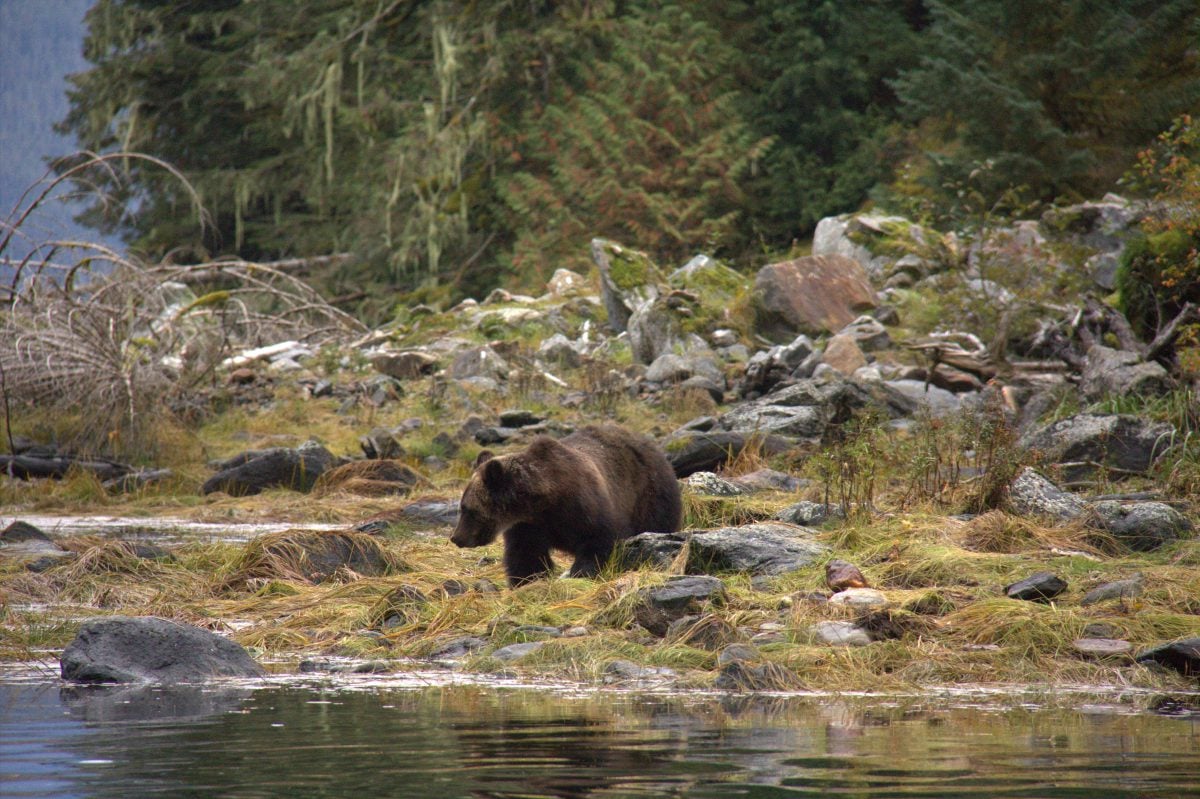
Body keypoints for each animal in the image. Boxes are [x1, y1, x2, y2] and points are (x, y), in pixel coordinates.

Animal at [450, 424, 682, 586]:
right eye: (462, 507)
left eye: (468, 509)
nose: (456, 537)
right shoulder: (528, 526)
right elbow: (526, 556)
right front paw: (528, 581)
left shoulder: (587, 508)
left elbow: (598, 542)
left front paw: (581, 573)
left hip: (650, 495)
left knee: (657, 523)